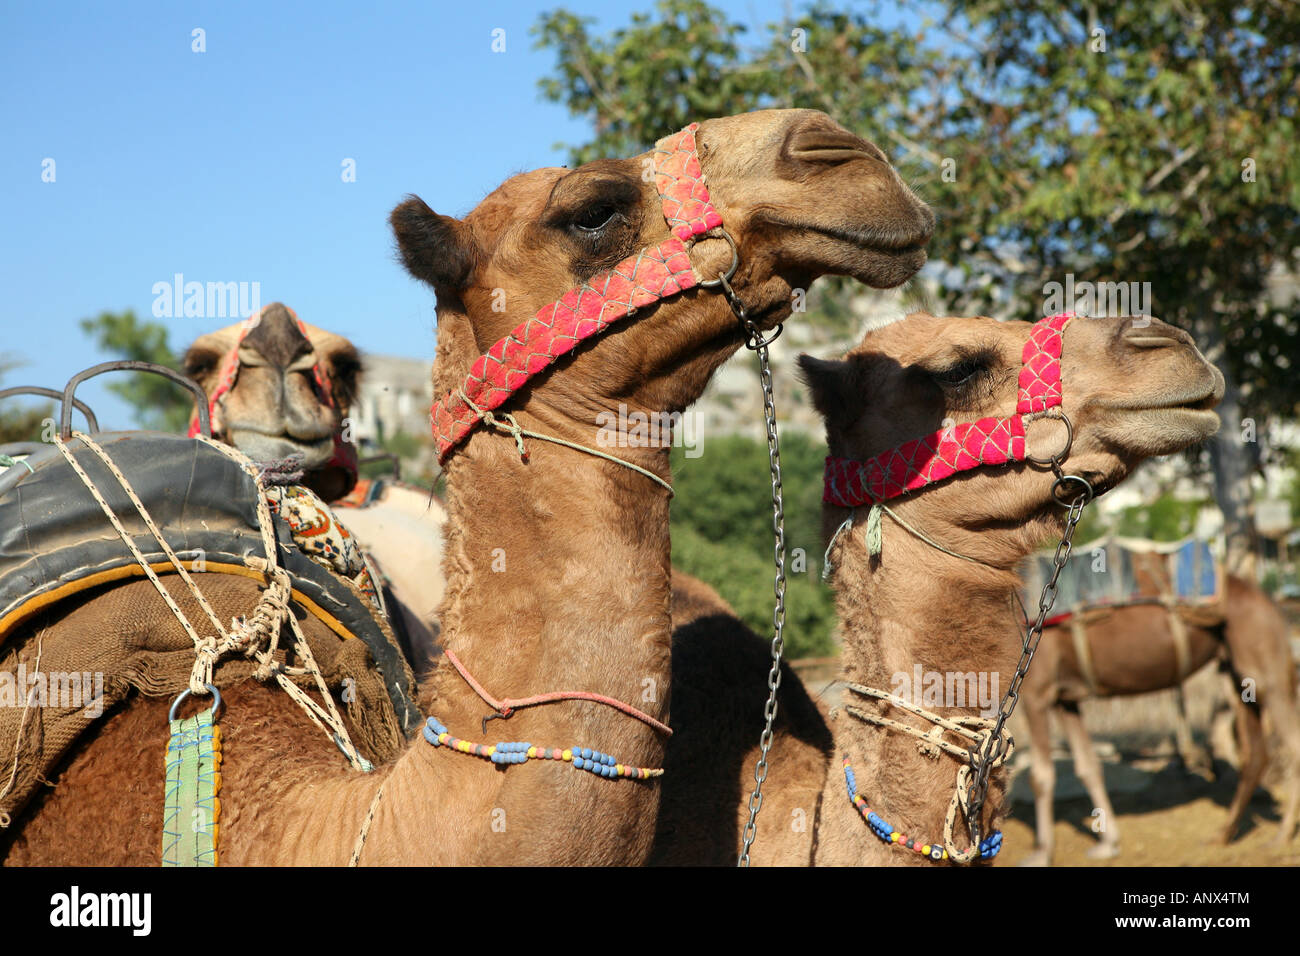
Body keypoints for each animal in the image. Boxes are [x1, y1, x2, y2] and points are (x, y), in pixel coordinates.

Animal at [1018, 570, 1300, 865]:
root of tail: (1270, 603)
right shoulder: (1065, 698)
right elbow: (1088, 767)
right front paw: (1108, 844)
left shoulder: (1036, 691)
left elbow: (1040, 776)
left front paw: (1041, 854)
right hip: (1238, 675)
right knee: (1256, 753)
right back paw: (1222, 835)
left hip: (1266, 667)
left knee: (1292, 744)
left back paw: (1281, 836)